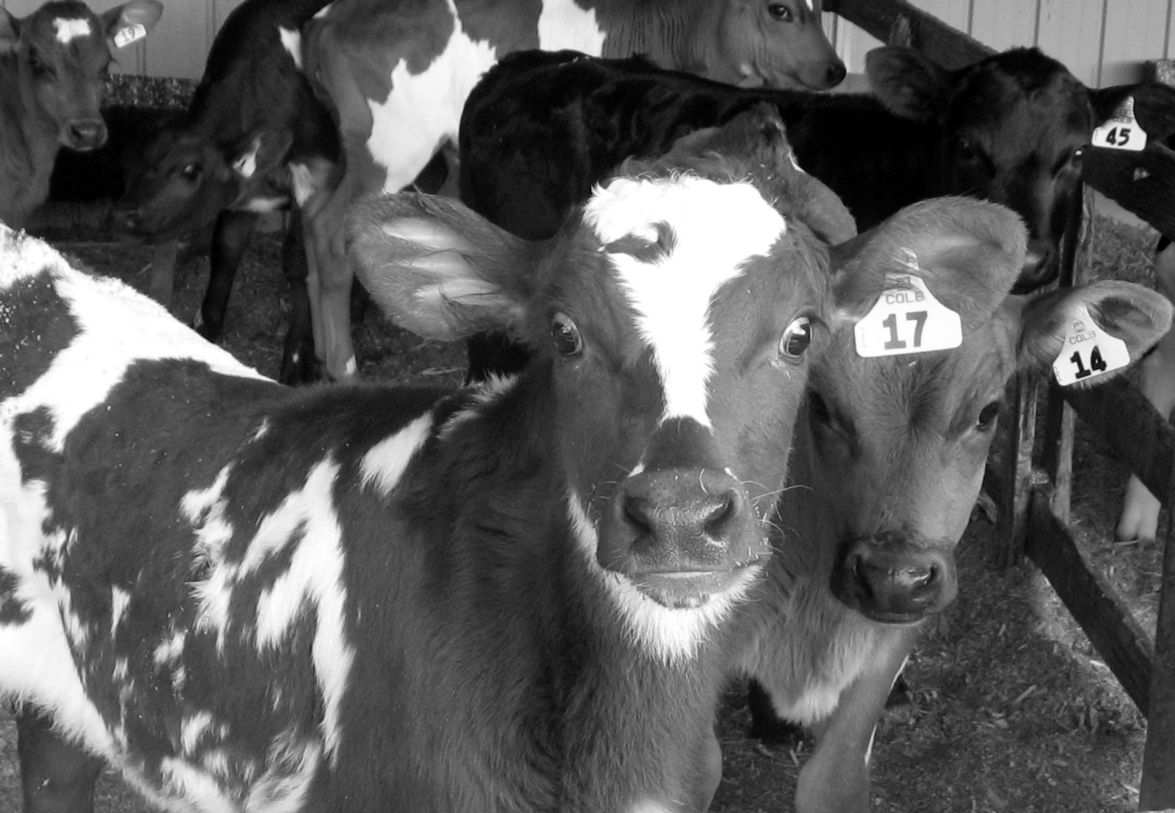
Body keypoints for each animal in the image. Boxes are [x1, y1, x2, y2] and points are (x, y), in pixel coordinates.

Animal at [298, 0, 846, 381]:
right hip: (391, 148)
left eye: (821, 10)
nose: (836, 70)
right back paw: (344, 365)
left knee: (311, 215)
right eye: (780, 10)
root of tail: (328, 19)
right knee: (330, 232)